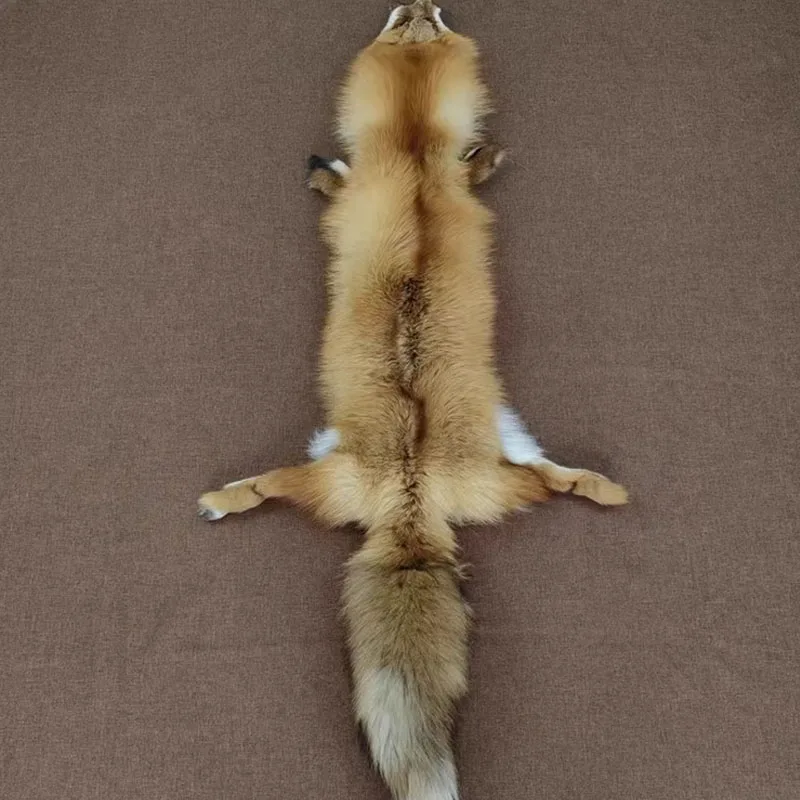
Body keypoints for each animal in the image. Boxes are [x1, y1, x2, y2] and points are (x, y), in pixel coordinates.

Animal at [198, 3, 627, 799]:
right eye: (410, 20)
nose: (419, 2)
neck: (412, 149)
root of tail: (411, 492)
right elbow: (469, 168)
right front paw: (485, 158)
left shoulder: (374, 179)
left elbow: (339, 181)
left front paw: (322, 172)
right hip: (507, 460)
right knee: (558, 481)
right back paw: (606, 488)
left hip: (324, 466)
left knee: (267, 488)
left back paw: (222, 497)